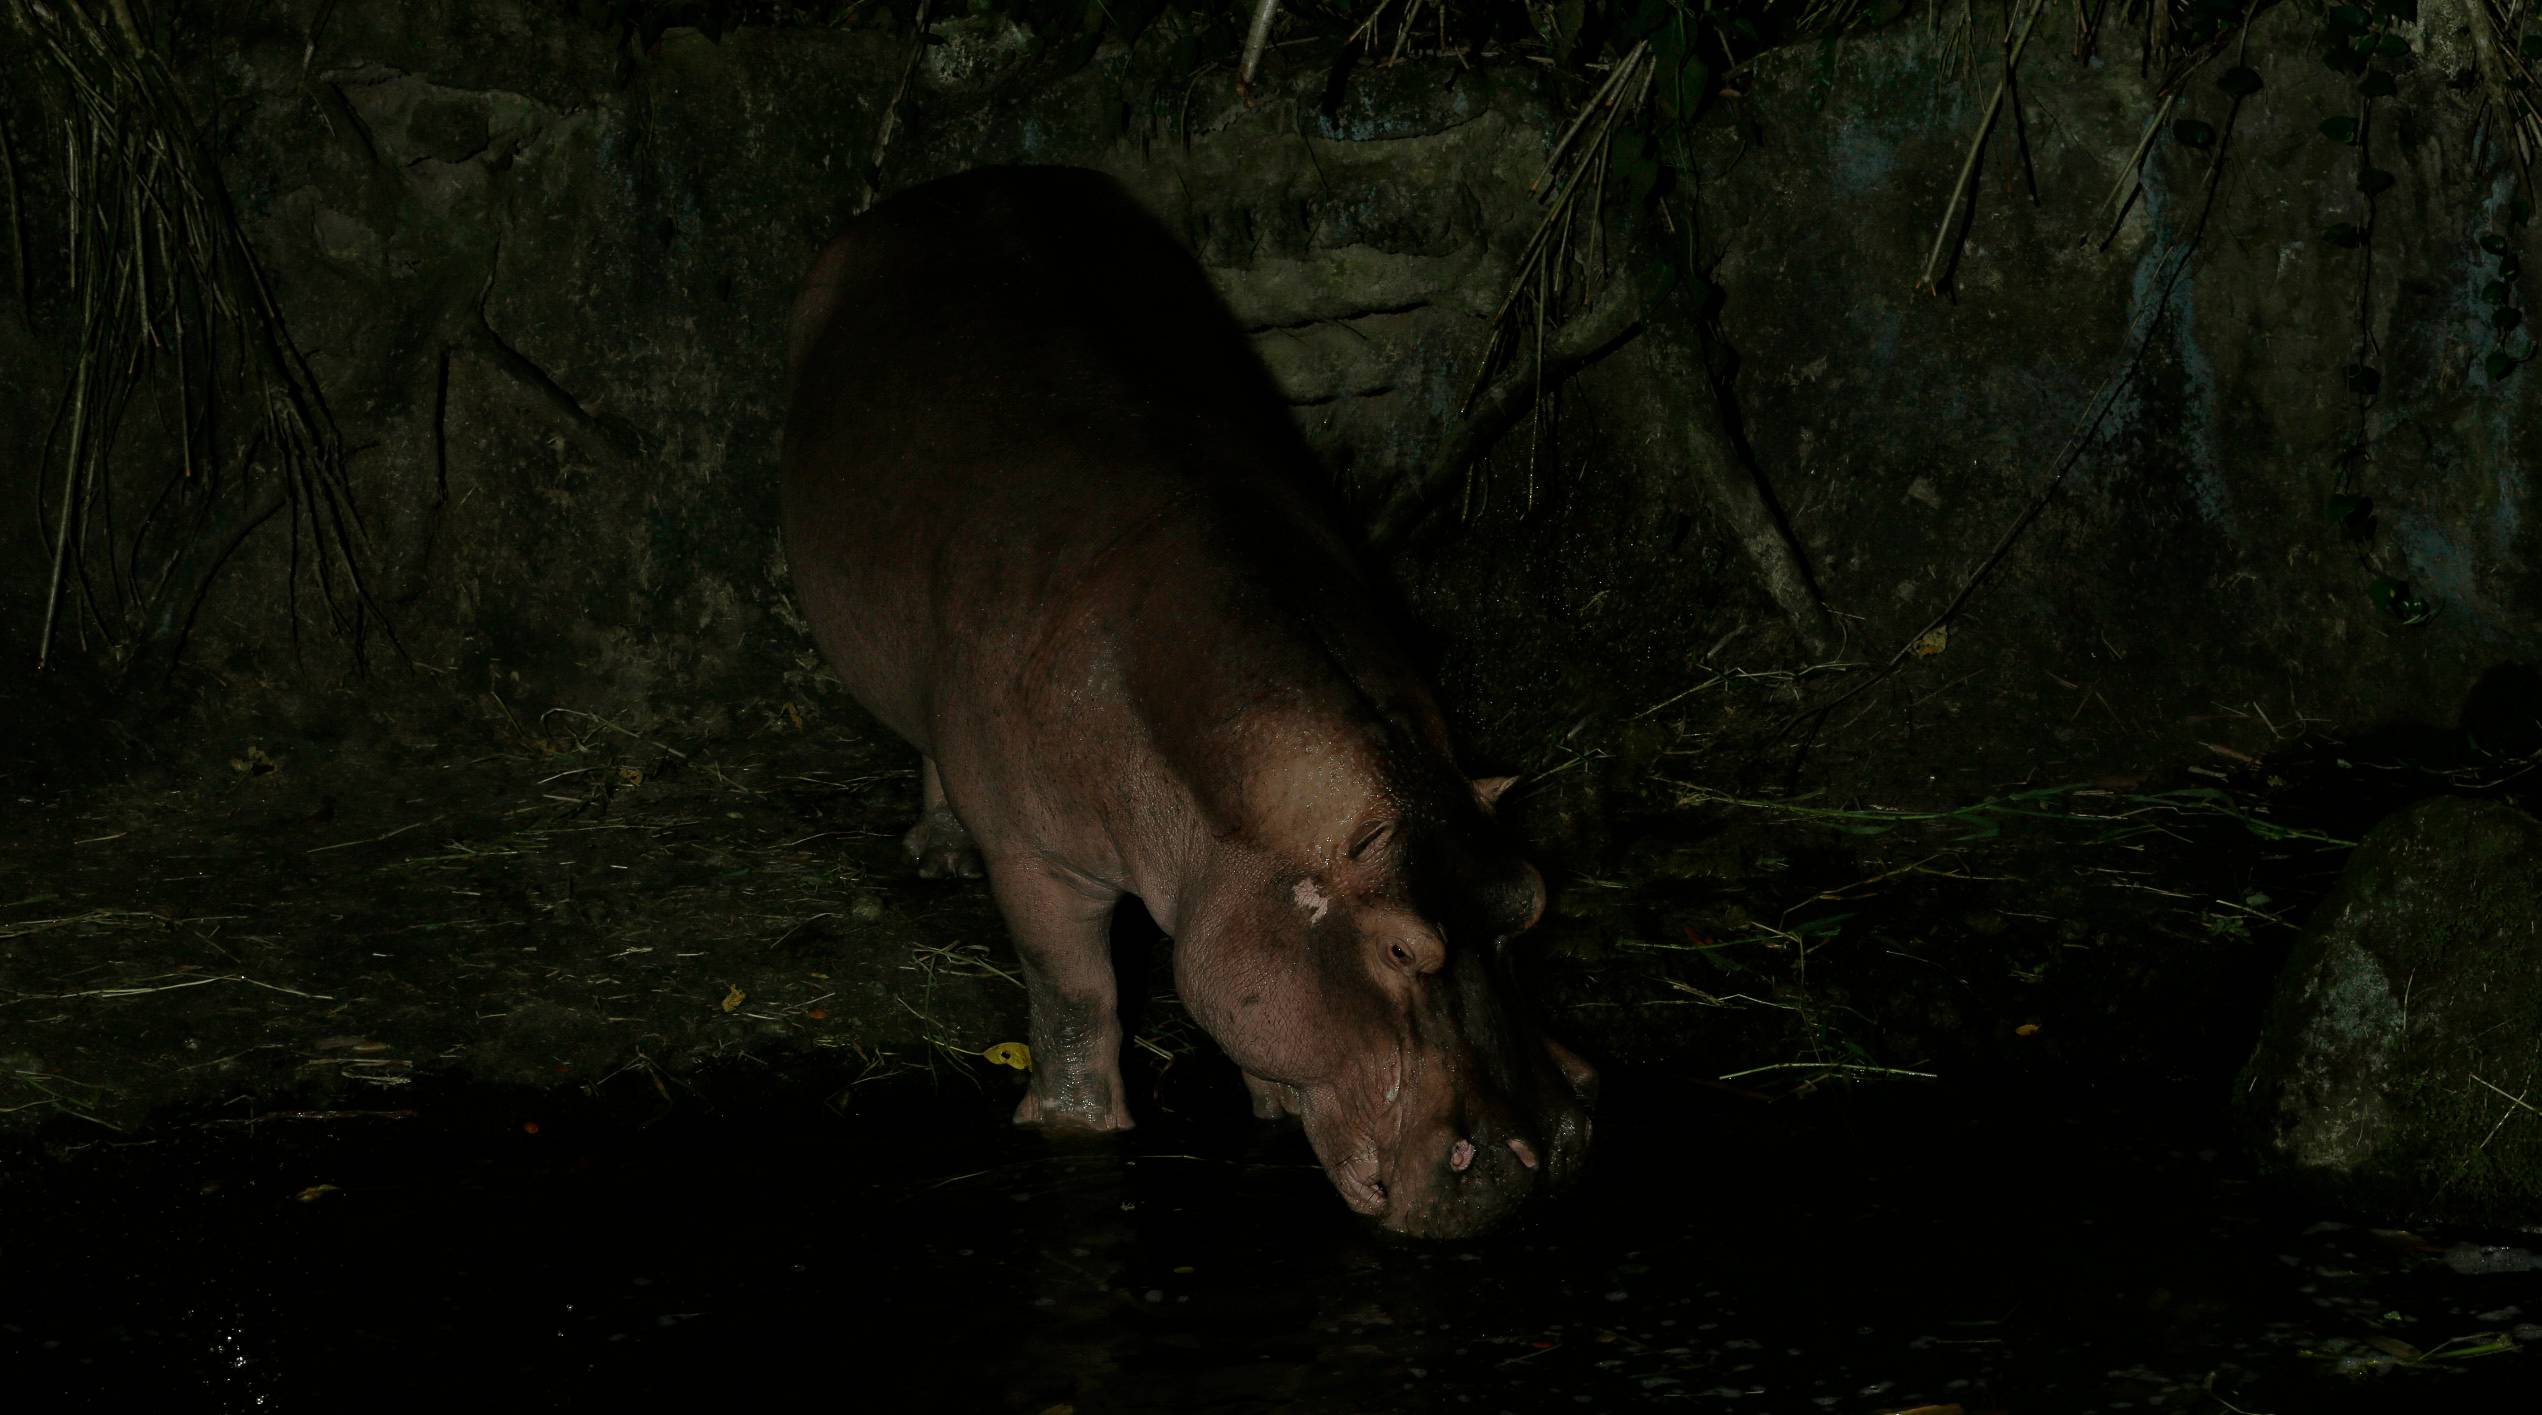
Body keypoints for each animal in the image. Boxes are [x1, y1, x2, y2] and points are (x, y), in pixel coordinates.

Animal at [779, 166, 1593, 1237]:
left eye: (1531, 901)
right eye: (1400, 947)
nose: (1541, 1159)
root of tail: (952, 184)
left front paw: (1268, 1101)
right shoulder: (1040, 858)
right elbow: (1076, 996)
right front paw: (1076, 1128)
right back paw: (941, 853)